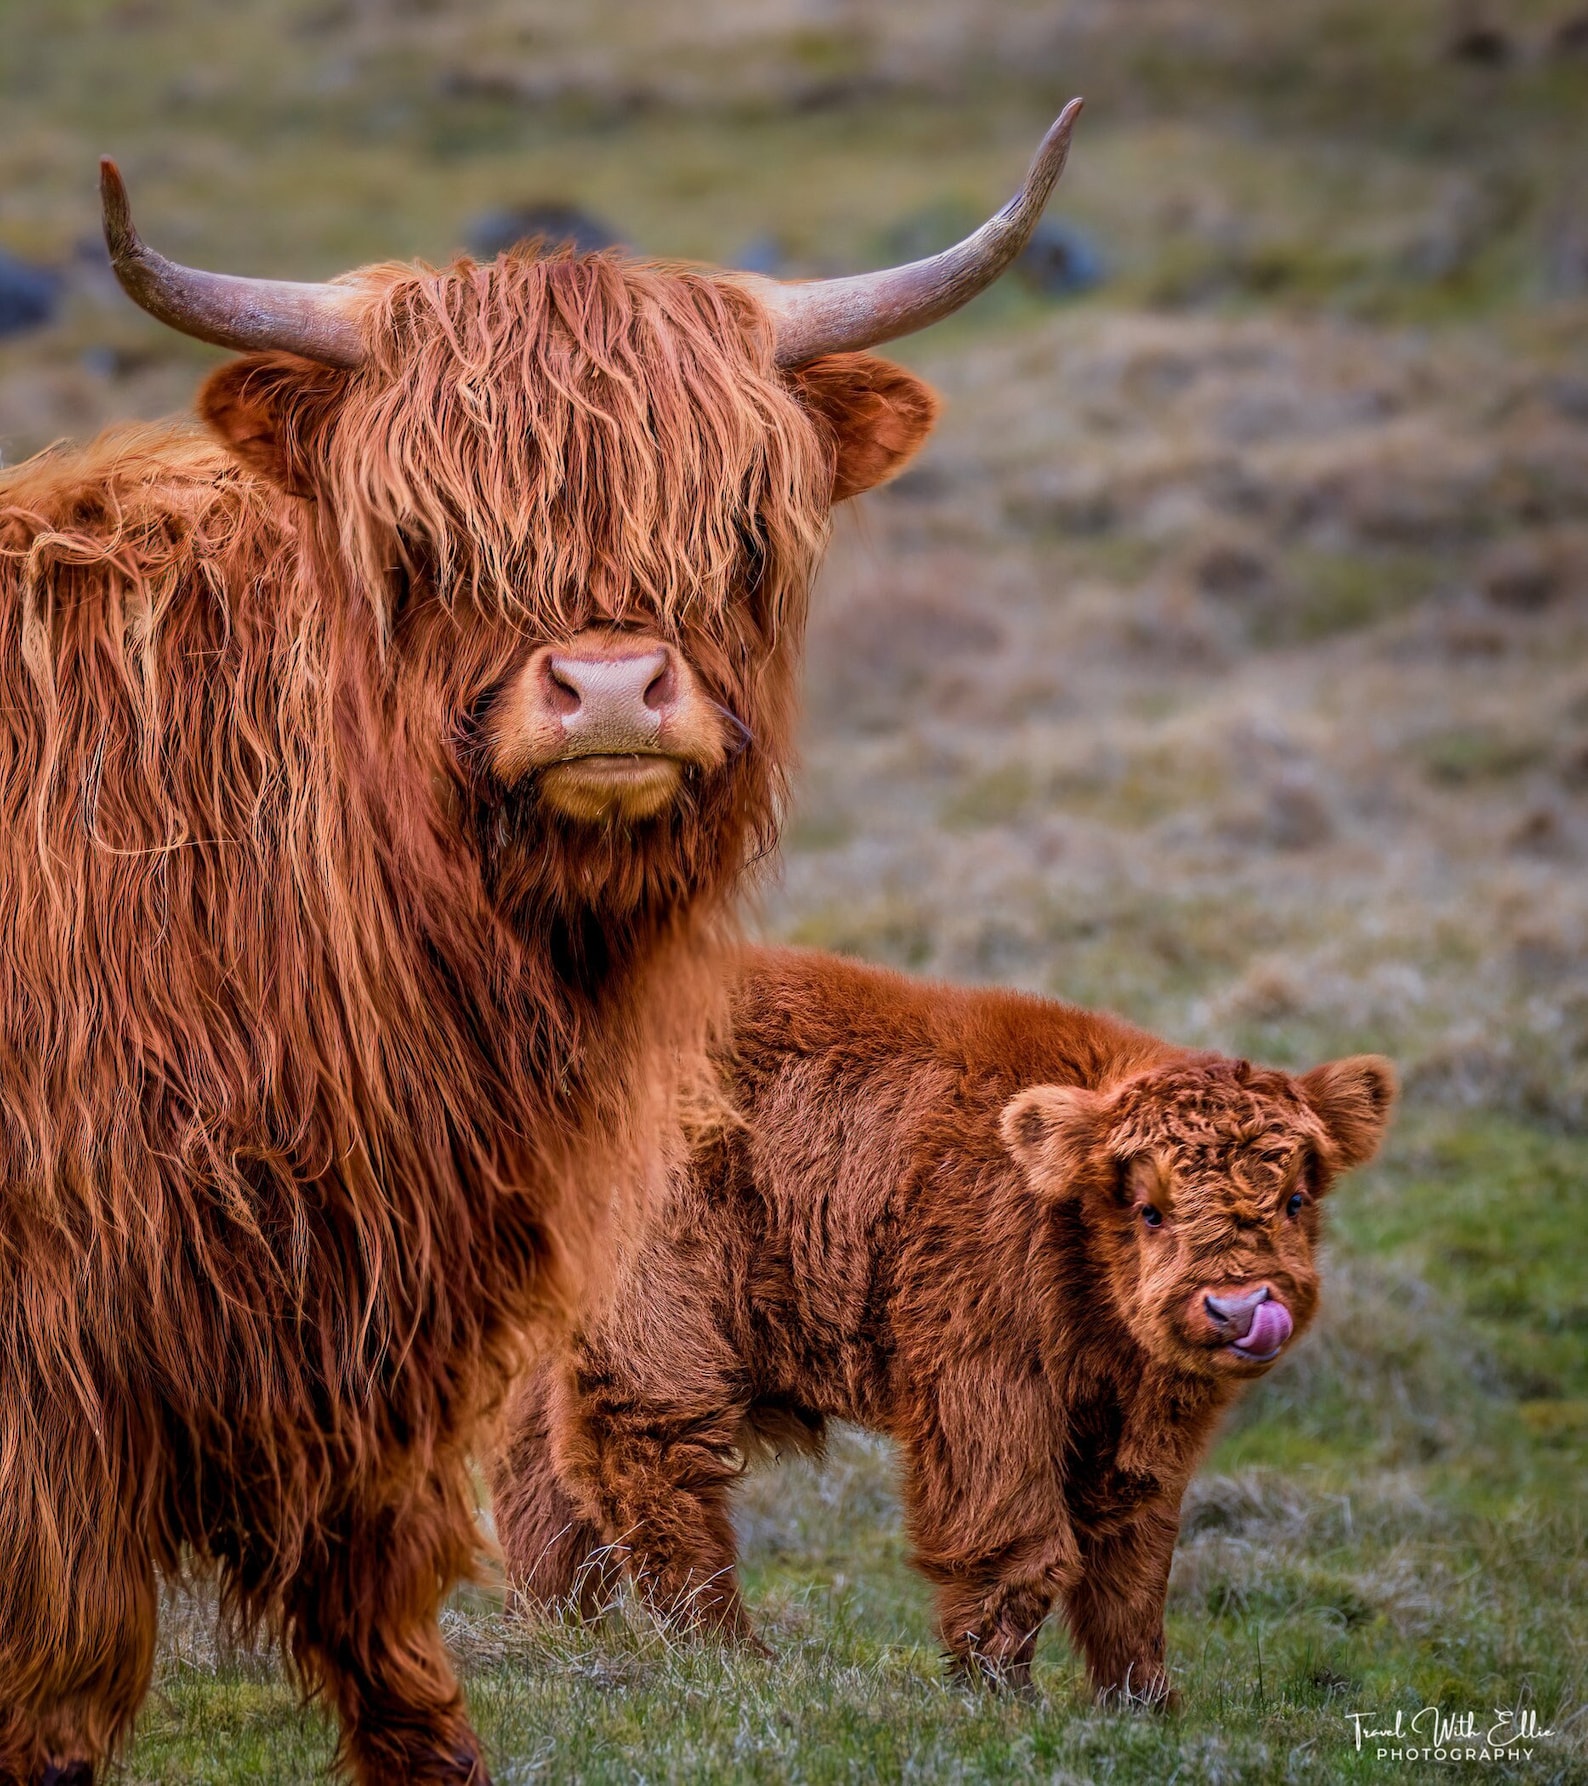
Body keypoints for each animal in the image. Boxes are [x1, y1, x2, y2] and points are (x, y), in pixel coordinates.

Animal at [0, 104, 1083, 1786]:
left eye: (739, 527)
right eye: (430, 537)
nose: (614, 690)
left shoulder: (373, 1309)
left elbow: (381, 1597)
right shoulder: (66, 1345)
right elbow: (63, 1649)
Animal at [491, 946, 1395, 1703]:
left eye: (1295, 1200)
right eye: (1148, 1208)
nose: (1239, 1306)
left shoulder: (1146, 1430)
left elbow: (1133, 1568)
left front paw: (1142, 1702)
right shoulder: (984, 1385)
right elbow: (1018, 1543)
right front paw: (1000, 1694)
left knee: (540, 1473)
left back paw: (560, 1629)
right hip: (654, 1317)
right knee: (648, 1459)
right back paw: (729, 1654)